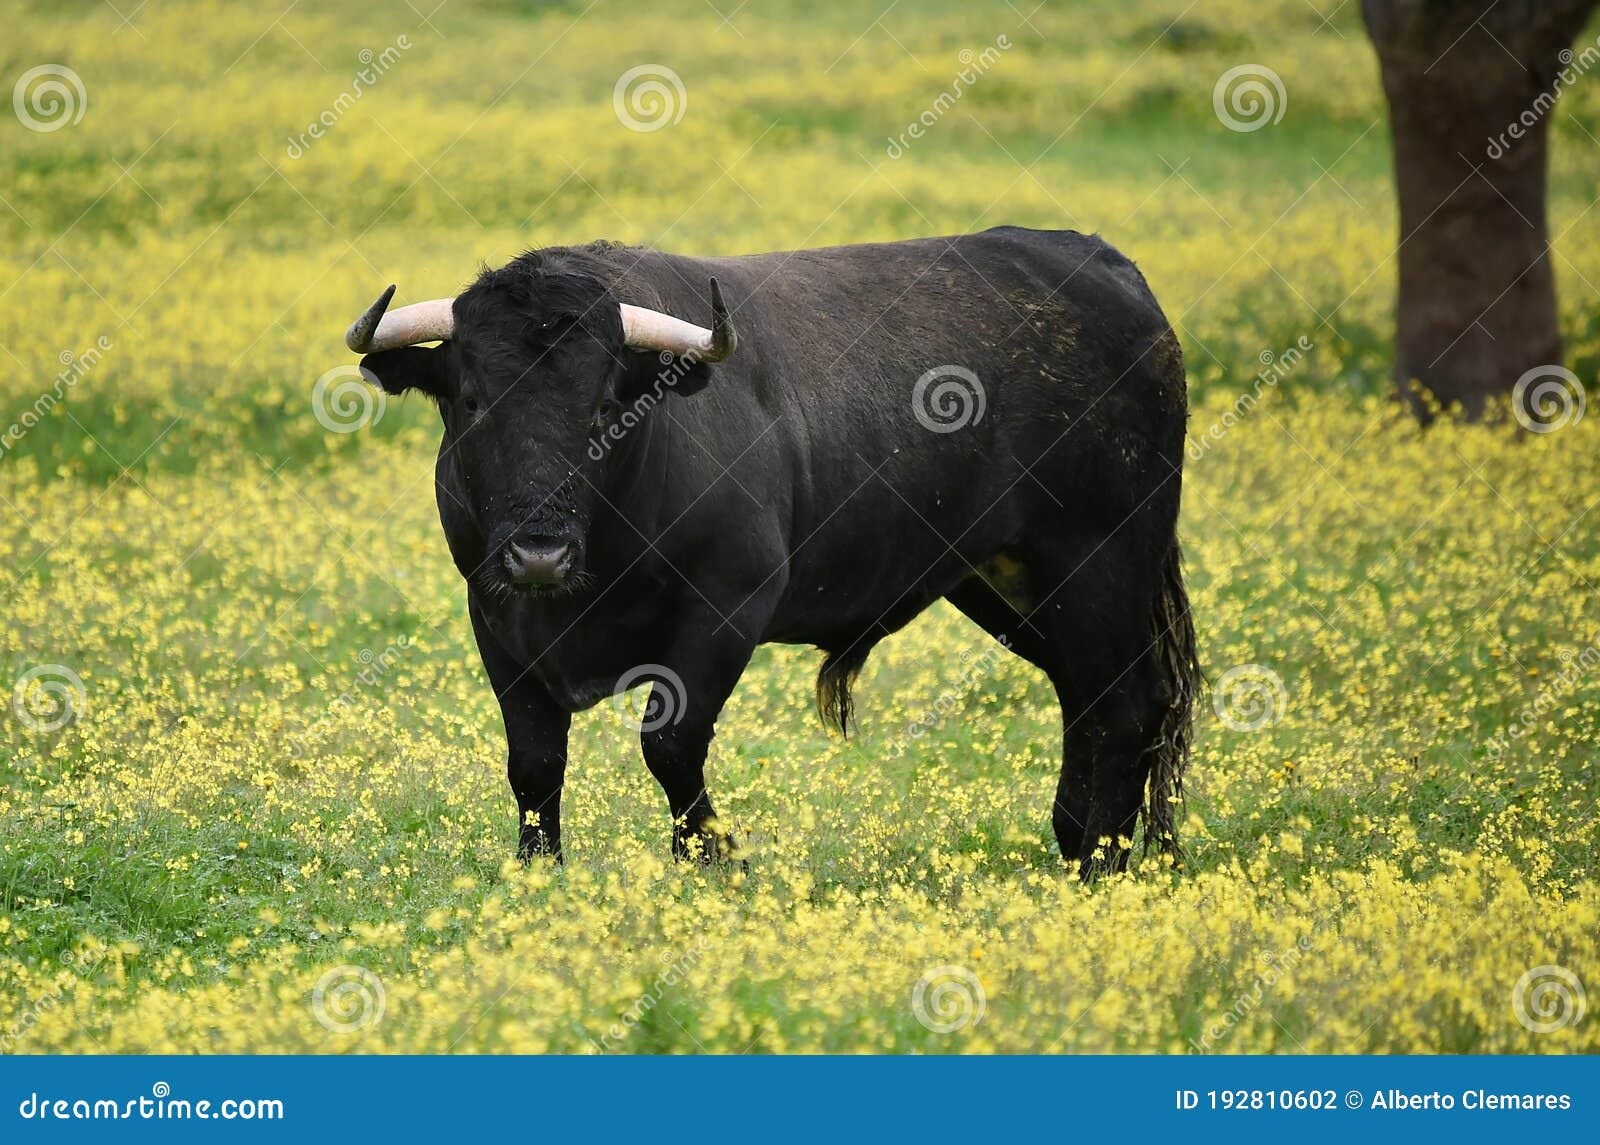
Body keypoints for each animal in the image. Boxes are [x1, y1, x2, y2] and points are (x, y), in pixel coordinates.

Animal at [345, 226, 1199, 879]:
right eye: (471, 400)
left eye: (605, 407)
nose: (539, 556)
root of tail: (1103, 266)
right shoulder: (494, 616)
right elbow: (534, 759)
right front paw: (536, 870)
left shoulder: (727, 606)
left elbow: (670, 742)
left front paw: (715, 860)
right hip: (1010, 580)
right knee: (1085, 694)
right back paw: (1077, 841)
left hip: (1103, 556)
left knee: (1129, 699)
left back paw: (1099, 860)